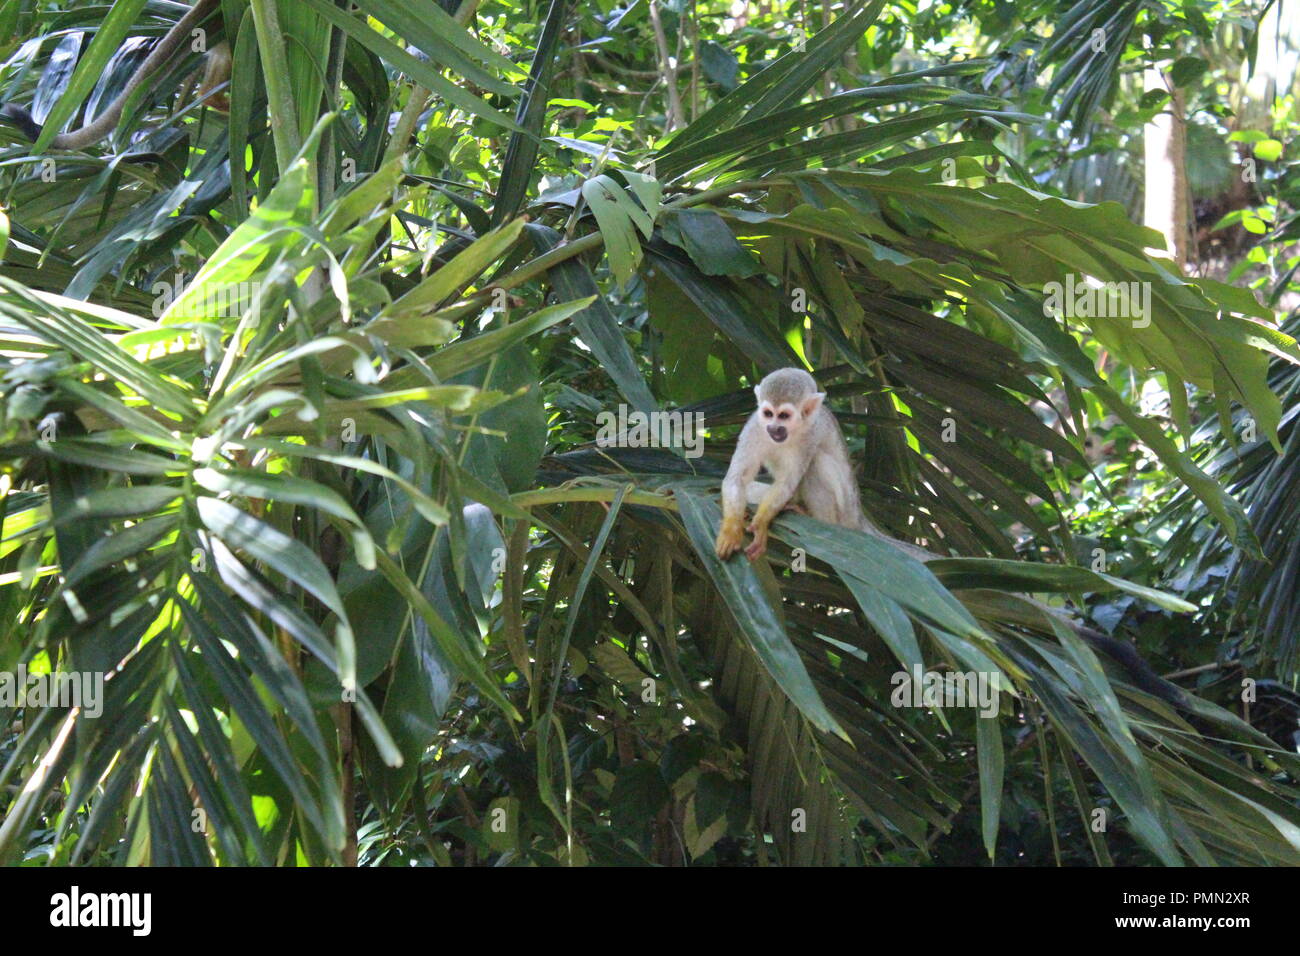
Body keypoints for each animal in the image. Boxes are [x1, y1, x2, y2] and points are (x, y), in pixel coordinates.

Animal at [715, 367, 1188, 709]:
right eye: (769, 413)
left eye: (787, 416)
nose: (776, 429)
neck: (786, 434)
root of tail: (856, 519)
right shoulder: (753, 428)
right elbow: (735, 478)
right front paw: (732, 526)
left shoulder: (806, 434)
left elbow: (795, 471)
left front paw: (762, 521)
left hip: (841, 508)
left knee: (819, 468)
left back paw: (806, 514)